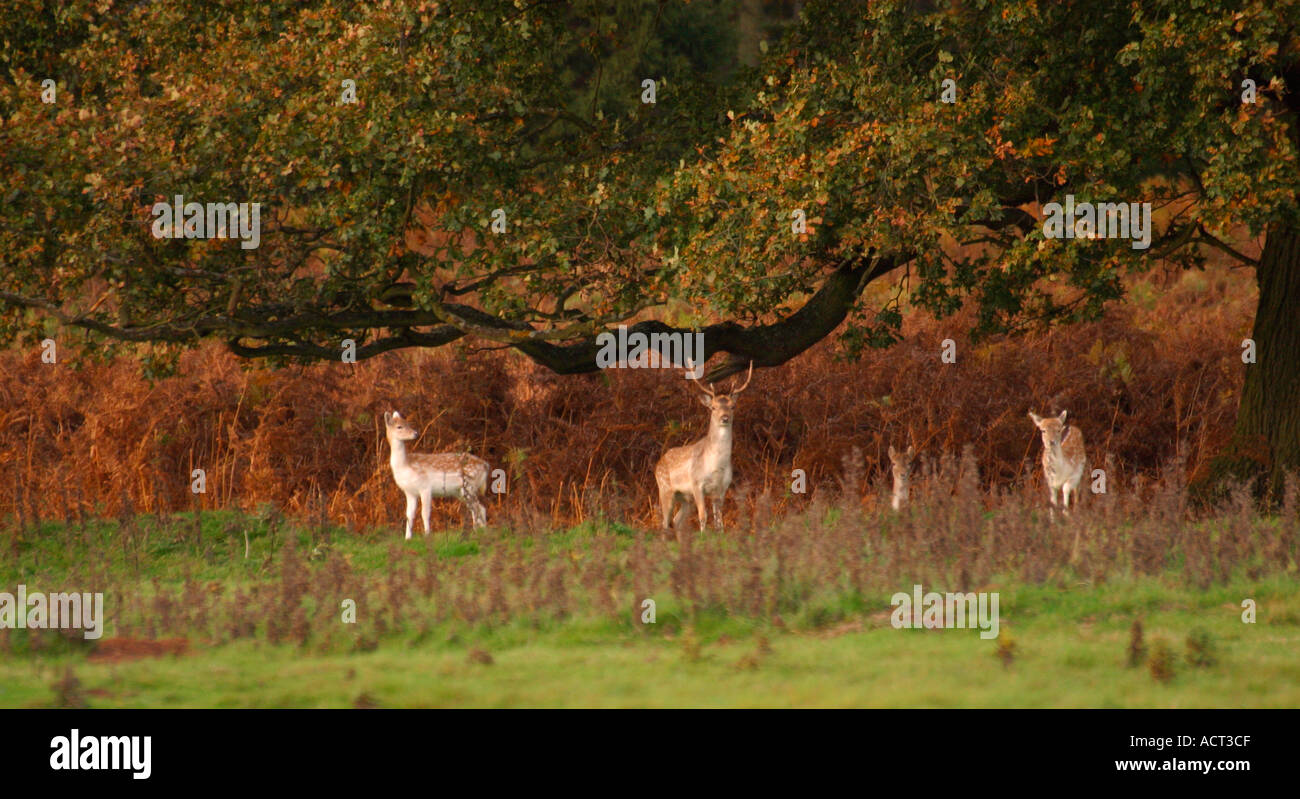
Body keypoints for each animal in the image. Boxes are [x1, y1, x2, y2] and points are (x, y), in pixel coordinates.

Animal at [654, 362, 753, 537]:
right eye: (713, 407)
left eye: (733, 406)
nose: (725, 418)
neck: (716, 467)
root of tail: (657, 464)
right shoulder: (697, 483)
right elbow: (703, 515)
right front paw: (703, 537)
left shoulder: (722, 488)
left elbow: (719, 521)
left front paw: (719, 536)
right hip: (665, 489)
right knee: (665, 523)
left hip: (685, 497)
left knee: (677, 520)